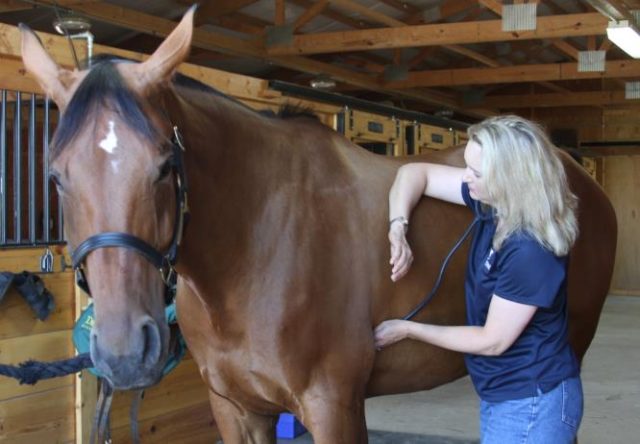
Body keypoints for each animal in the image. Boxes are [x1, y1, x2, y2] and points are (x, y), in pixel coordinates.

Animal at [20, 8, 616, 443]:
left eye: (165, 165)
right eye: (55, 175)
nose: (125, 354)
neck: (254, 249)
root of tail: (573, 171)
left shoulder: (332, 405)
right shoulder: (235, 408)